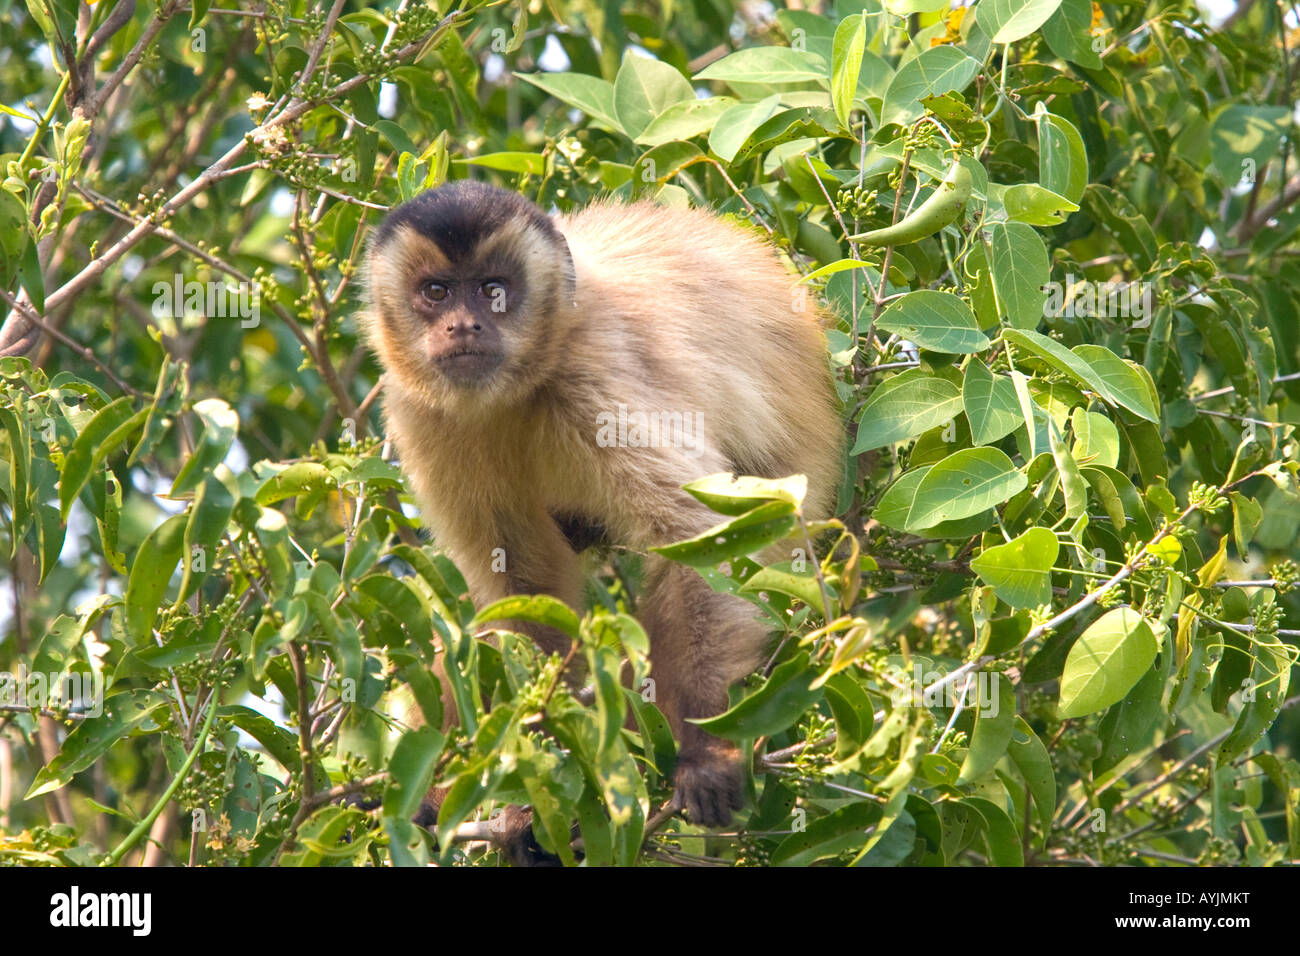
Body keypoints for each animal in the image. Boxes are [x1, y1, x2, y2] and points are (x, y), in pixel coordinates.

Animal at [361, 179, 843, 837]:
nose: (463, 326)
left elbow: (696, 535)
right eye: (436, 292)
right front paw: (533, 778)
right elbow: (517, 580)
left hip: (801, 491)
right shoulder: (419, 409)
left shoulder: (595, 378)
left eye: (493, 290)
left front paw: (707, 750)